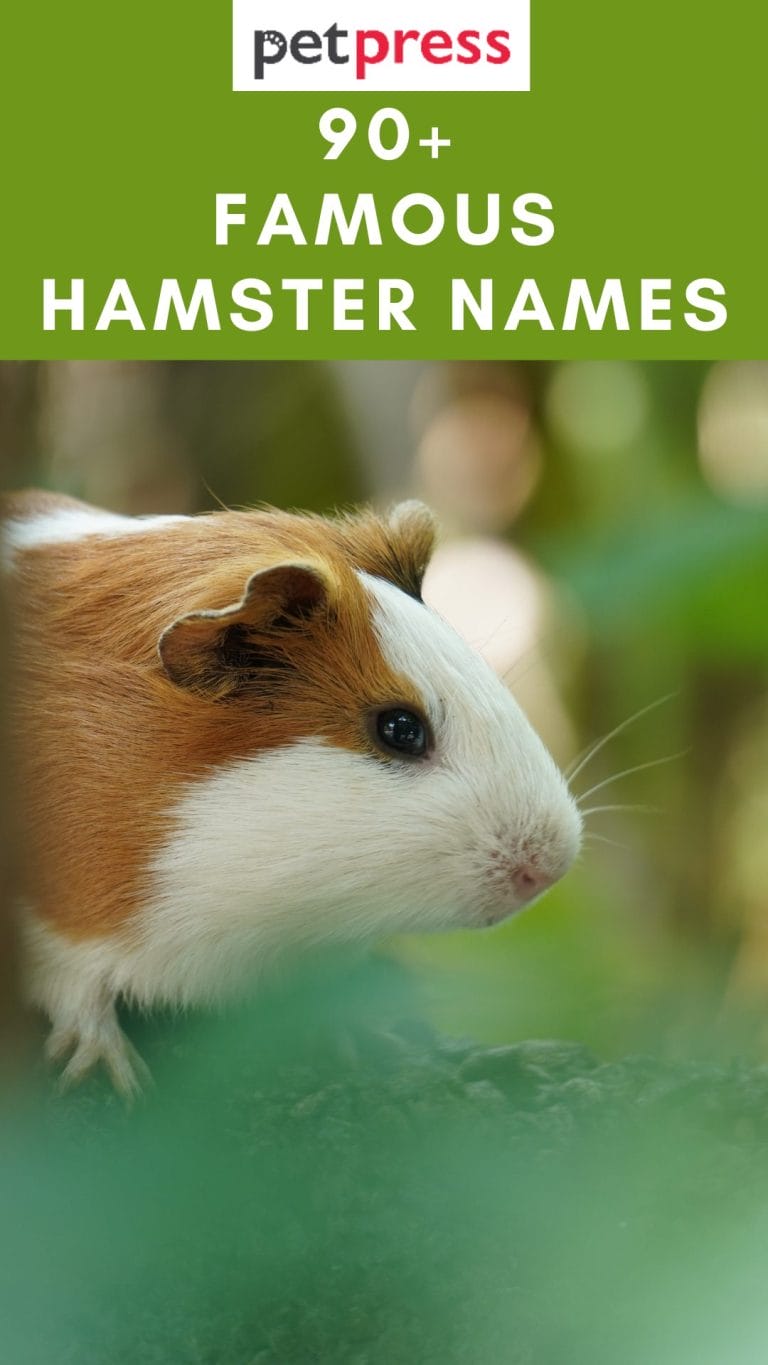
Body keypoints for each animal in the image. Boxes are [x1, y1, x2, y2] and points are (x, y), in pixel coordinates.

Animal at [2, 490, 582, 1095]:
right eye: (400, 729)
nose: (547, 867)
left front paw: (369, 1043)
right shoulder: (64, 927)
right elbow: (79, 995)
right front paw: (113, 1078)